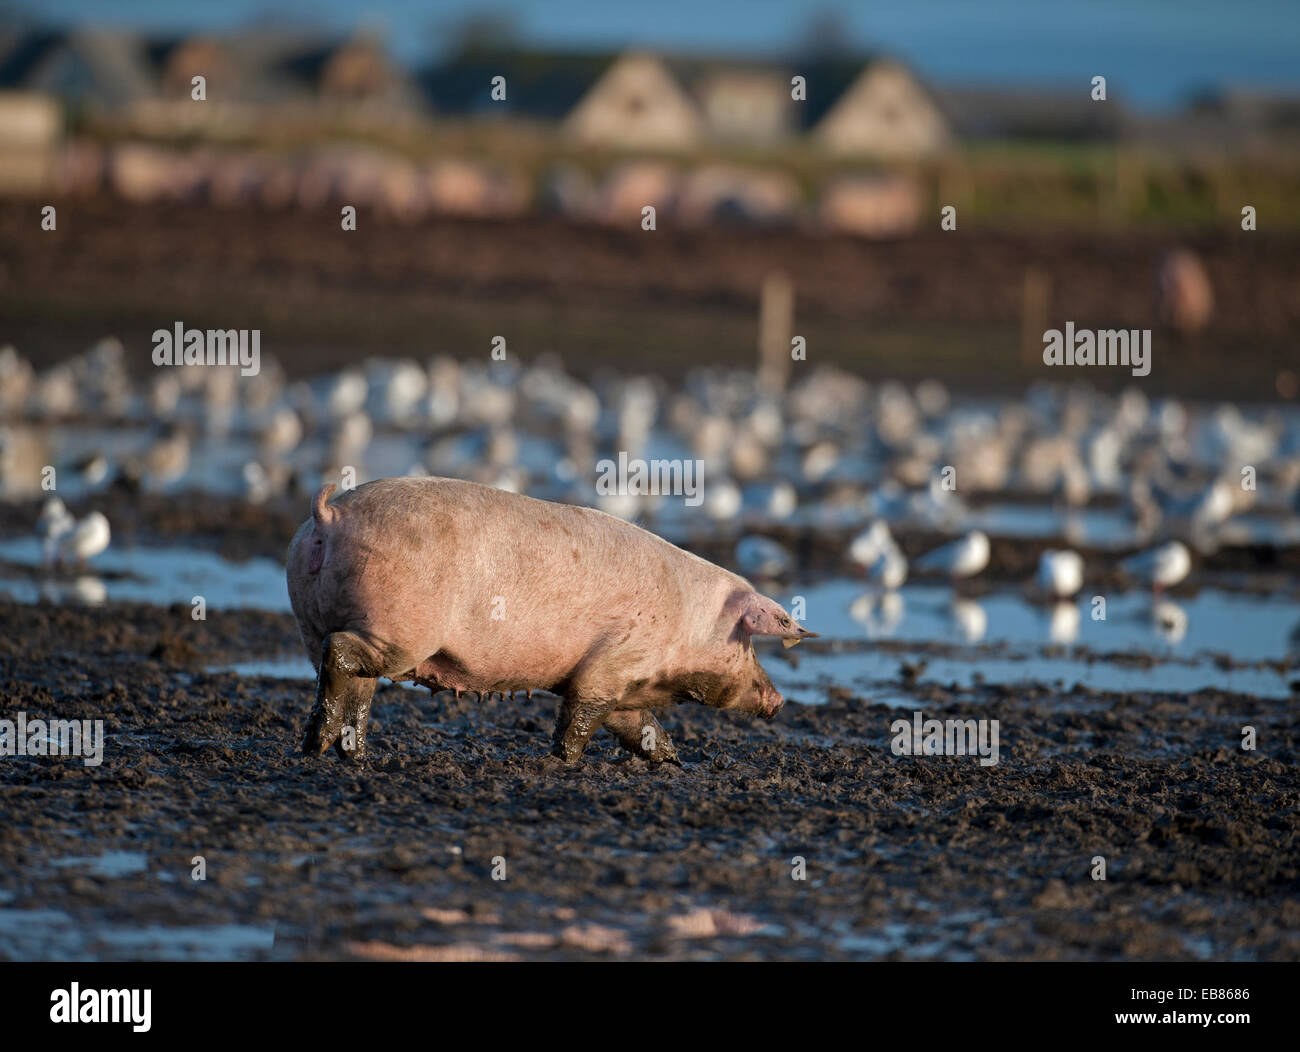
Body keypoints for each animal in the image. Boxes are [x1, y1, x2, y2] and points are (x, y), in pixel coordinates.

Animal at [286, 477, 816, 765]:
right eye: (746, 642)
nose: (778, 700)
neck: (685, 623)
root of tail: (329, 515)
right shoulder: (612, 663)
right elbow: (579, 718)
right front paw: (561, 763)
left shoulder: (622, 684)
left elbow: (640, 727)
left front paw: (675, 762)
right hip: (398, 631)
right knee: (343, 656)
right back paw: (324, 749)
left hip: (312, 621)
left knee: (351, 685)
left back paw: (337, 753)